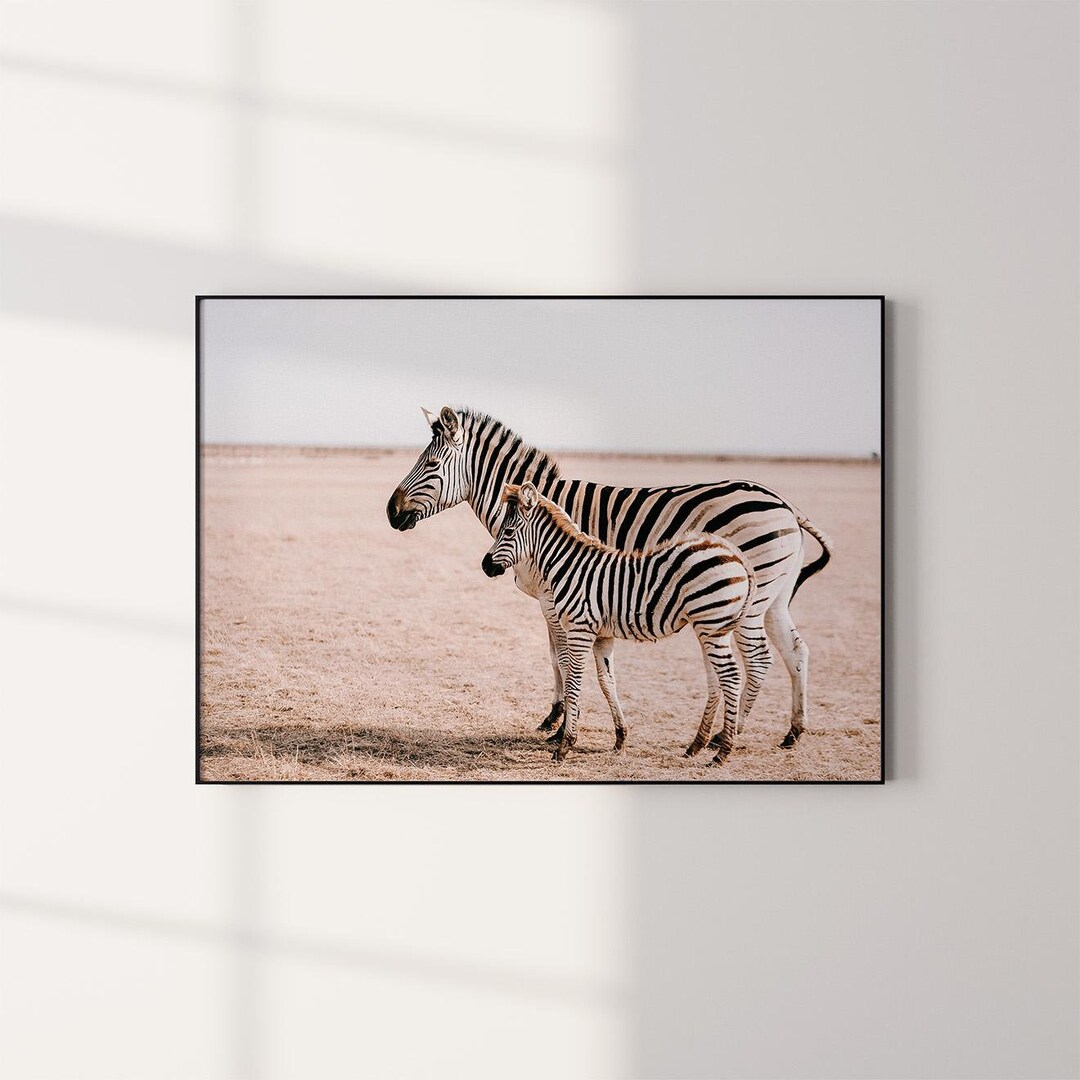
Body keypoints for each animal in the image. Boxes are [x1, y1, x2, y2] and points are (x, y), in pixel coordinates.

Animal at [482, 482, 755, 764]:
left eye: (508, 531)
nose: (485, 566)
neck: (568, 567)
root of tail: (735, 555)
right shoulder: (603, 636)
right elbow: (607, 682)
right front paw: (620, 737)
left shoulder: (580, 630)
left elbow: (574, 682)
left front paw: (565, 744)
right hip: (710, 629)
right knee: (716, 680)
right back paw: (696, 745)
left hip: (712, 626)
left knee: (731, 677)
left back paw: (723, 751)